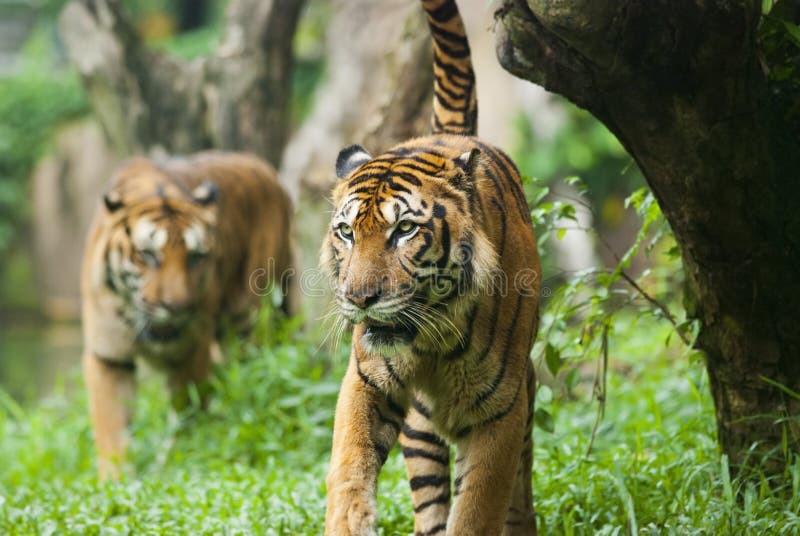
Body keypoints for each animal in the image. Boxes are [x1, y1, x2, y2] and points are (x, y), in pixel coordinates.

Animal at [80, 151, 296, 479]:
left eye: (195, 257)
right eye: (148, 255)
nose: (177, 307)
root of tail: (264, 168)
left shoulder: (191, 348)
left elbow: (186, 412)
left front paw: (174, 463)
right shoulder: (109, 354)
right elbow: (112, 426)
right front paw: (115, 481)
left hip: (250, 324)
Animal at [321, 0, 541, 534]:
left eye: (403, 231)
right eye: (347, 232)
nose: (359, 299)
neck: (435, 339)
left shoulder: (501, 412)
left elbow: (480, 507)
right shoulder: (365, 381)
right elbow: (349, 468)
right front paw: (350, 521)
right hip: (421, 428)